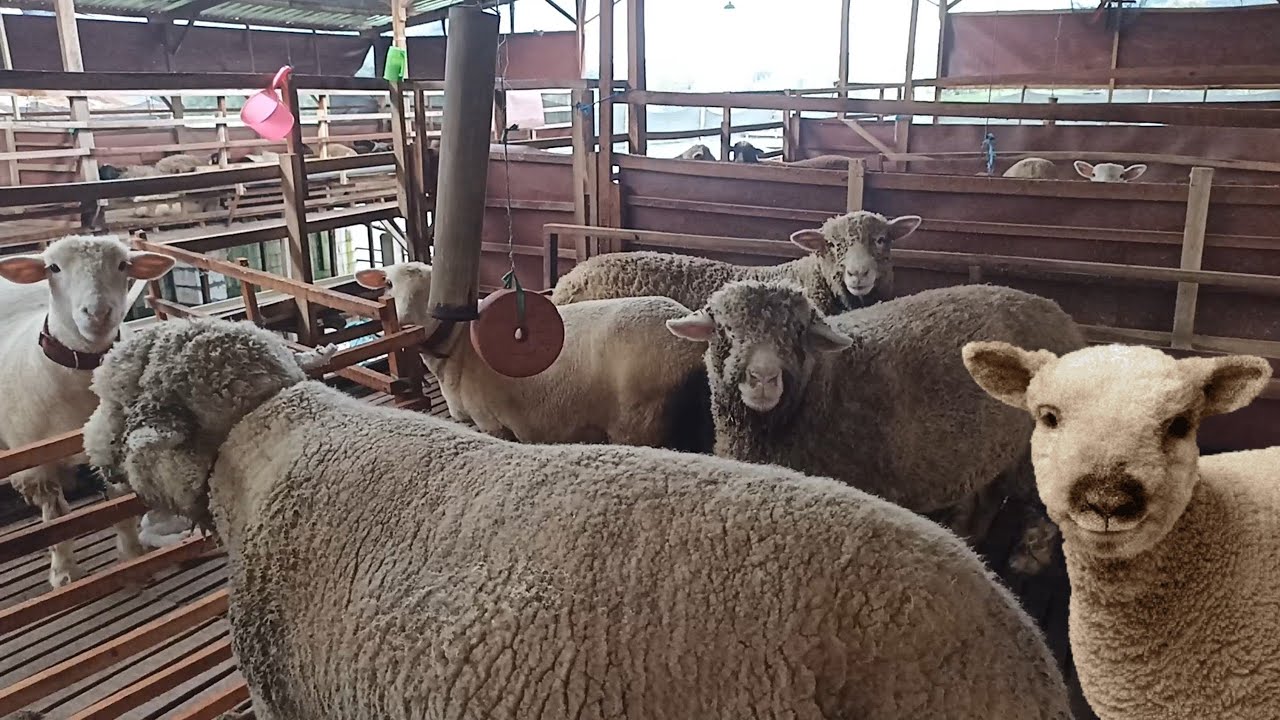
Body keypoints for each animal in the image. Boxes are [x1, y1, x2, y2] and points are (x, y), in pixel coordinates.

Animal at [0, 235, 176, 587]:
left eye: (123, 265)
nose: (97, 313)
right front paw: (64, 572)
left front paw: (134, 558)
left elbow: (120, 506)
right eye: (53, 268)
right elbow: (56, 520)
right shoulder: (35, 465)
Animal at [355, 263, 712, 451]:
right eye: (388, 285)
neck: (460, 346)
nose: (404, 324)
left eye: (432, 290)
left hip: (640, 424)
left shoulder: (491, 423)